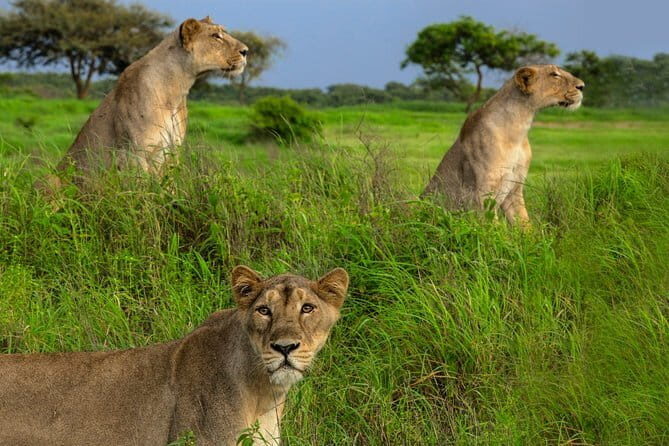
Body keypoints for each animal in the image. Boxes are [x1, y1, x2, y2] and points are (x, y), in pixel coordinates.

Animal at [49, 16, 247, 189]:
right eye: (216, 36)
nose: (246, 51)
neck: (176, 89)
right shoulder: (135, 153)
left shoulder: (171, 152)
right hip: (52, 179)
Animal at [422, 64, 584, 225]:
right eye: (554, 75)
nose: (582, 86)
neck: (520, 126)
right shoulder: (483, 195)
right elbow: (493, 229)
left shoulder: (515, 189)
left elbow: (524, 224)